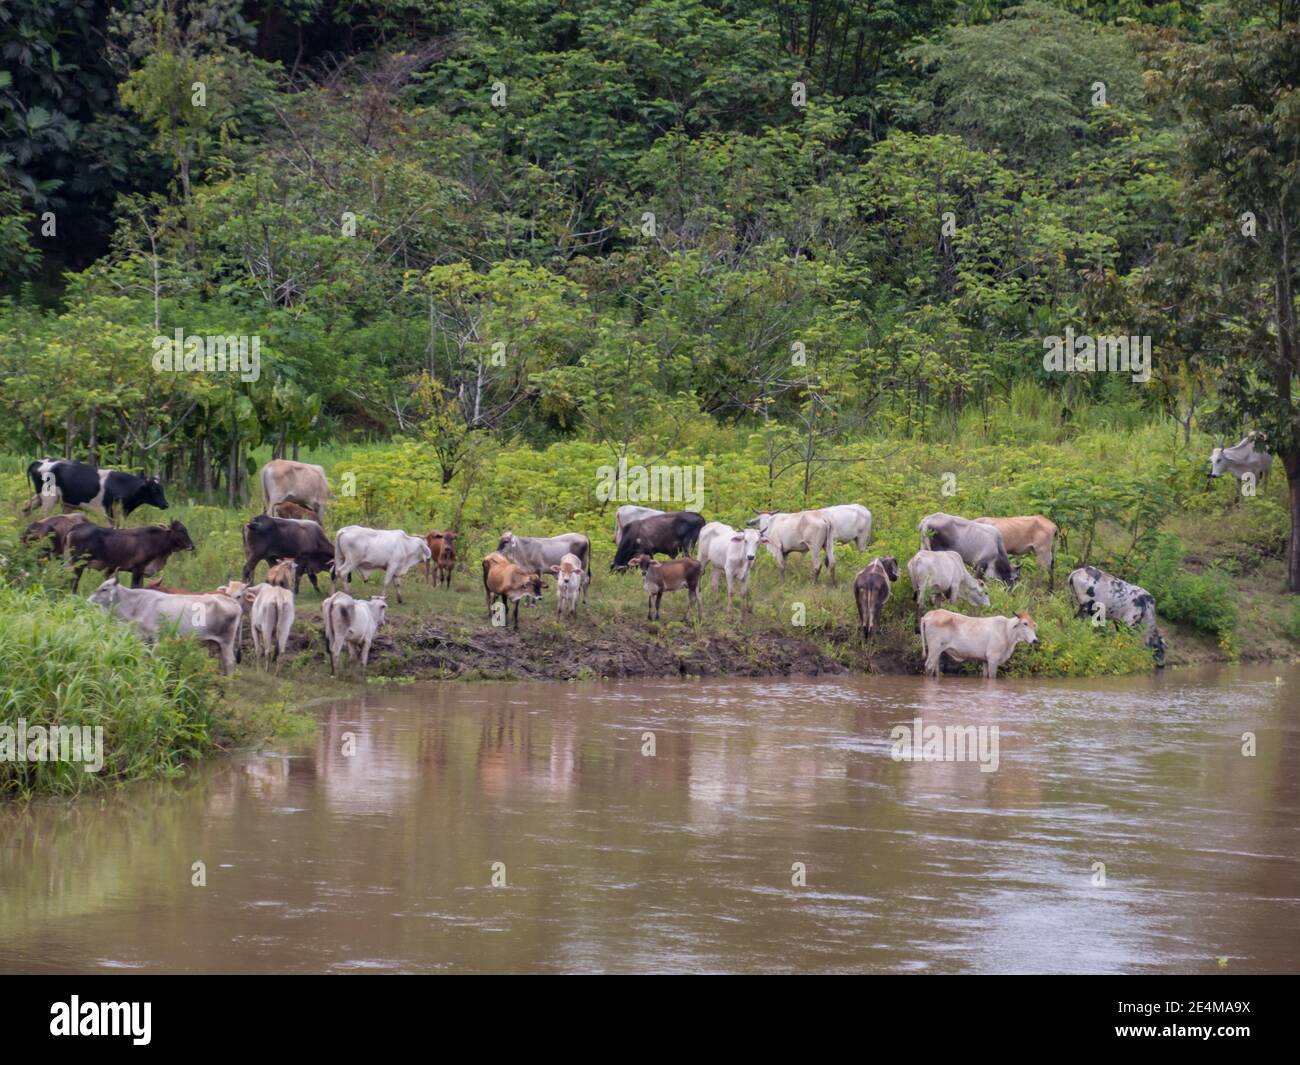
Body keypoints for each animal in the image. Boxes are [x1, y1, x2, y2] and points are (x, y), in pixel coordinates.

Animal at [24, 459, 168, 527]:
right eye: (154, 489)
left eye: (162, 489)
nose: (166, 505)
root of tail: (41, 461)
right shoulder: (109, 512)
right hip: (49, 498)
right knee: (42, 516)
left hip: (45, 498)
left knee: (26, 507)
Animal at [66, 519, 196, 592]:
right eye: (180, 531)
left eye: (186, 530)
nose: (192, 546)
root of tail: (76, 527)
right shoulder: (137, 569)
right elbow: (134, 587)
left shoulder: (142, 572)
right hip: (78, 564)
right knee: (74, 582)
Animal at [88, 577, 243, 674]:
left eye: (104, 589)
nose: (89, 600)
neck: (137, 604)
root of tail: (232, 600)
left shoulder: (155, 639)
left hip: (226, 642)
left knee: (230, 663)